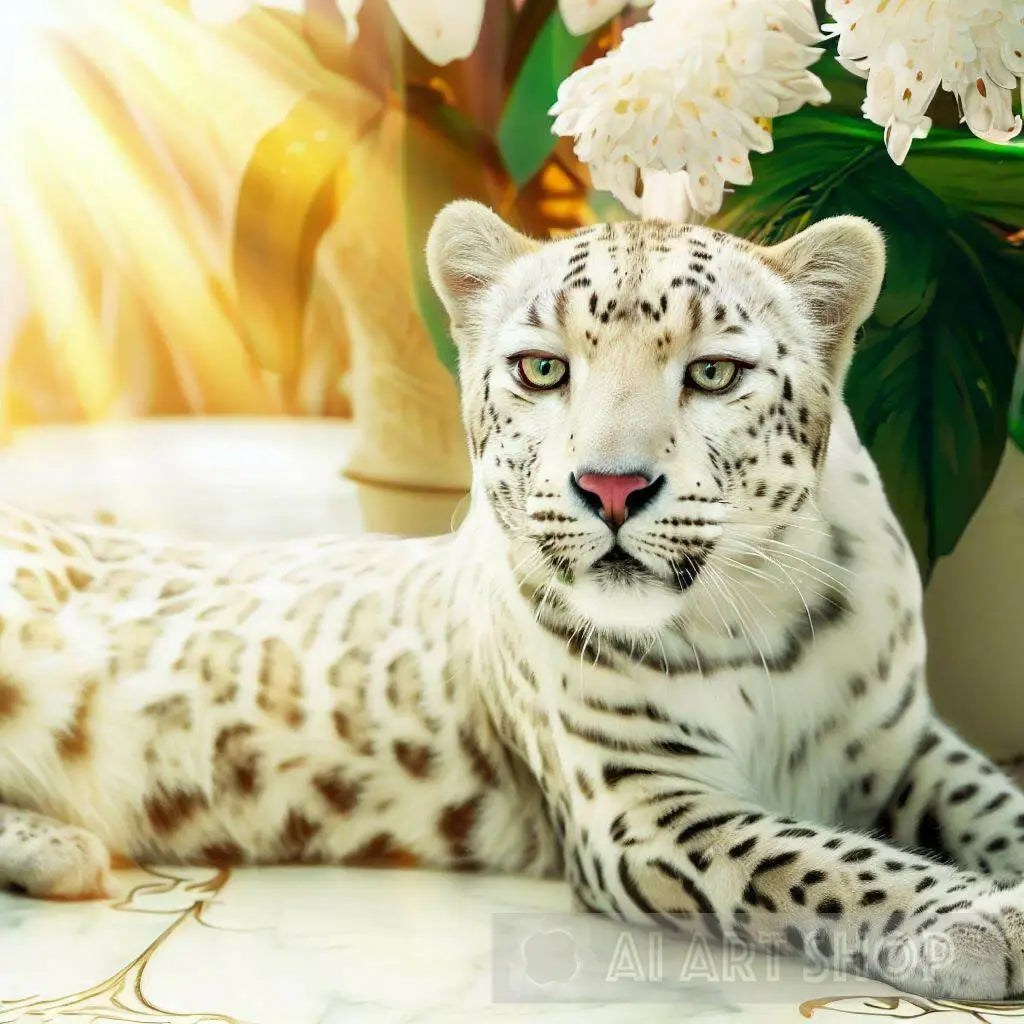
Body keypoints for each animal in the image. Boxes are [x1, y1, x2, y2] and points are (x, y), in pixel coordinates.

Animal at [1, 200, 1022, 1000]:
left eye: (713, 374)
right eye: (543, 369)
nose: (611, 488)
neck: (749, 616)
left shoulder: (900, 743)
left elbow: (992, 804)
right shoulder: (637, 803)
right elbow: (822, 861)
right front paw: (986, 921)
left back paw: (61, 851)